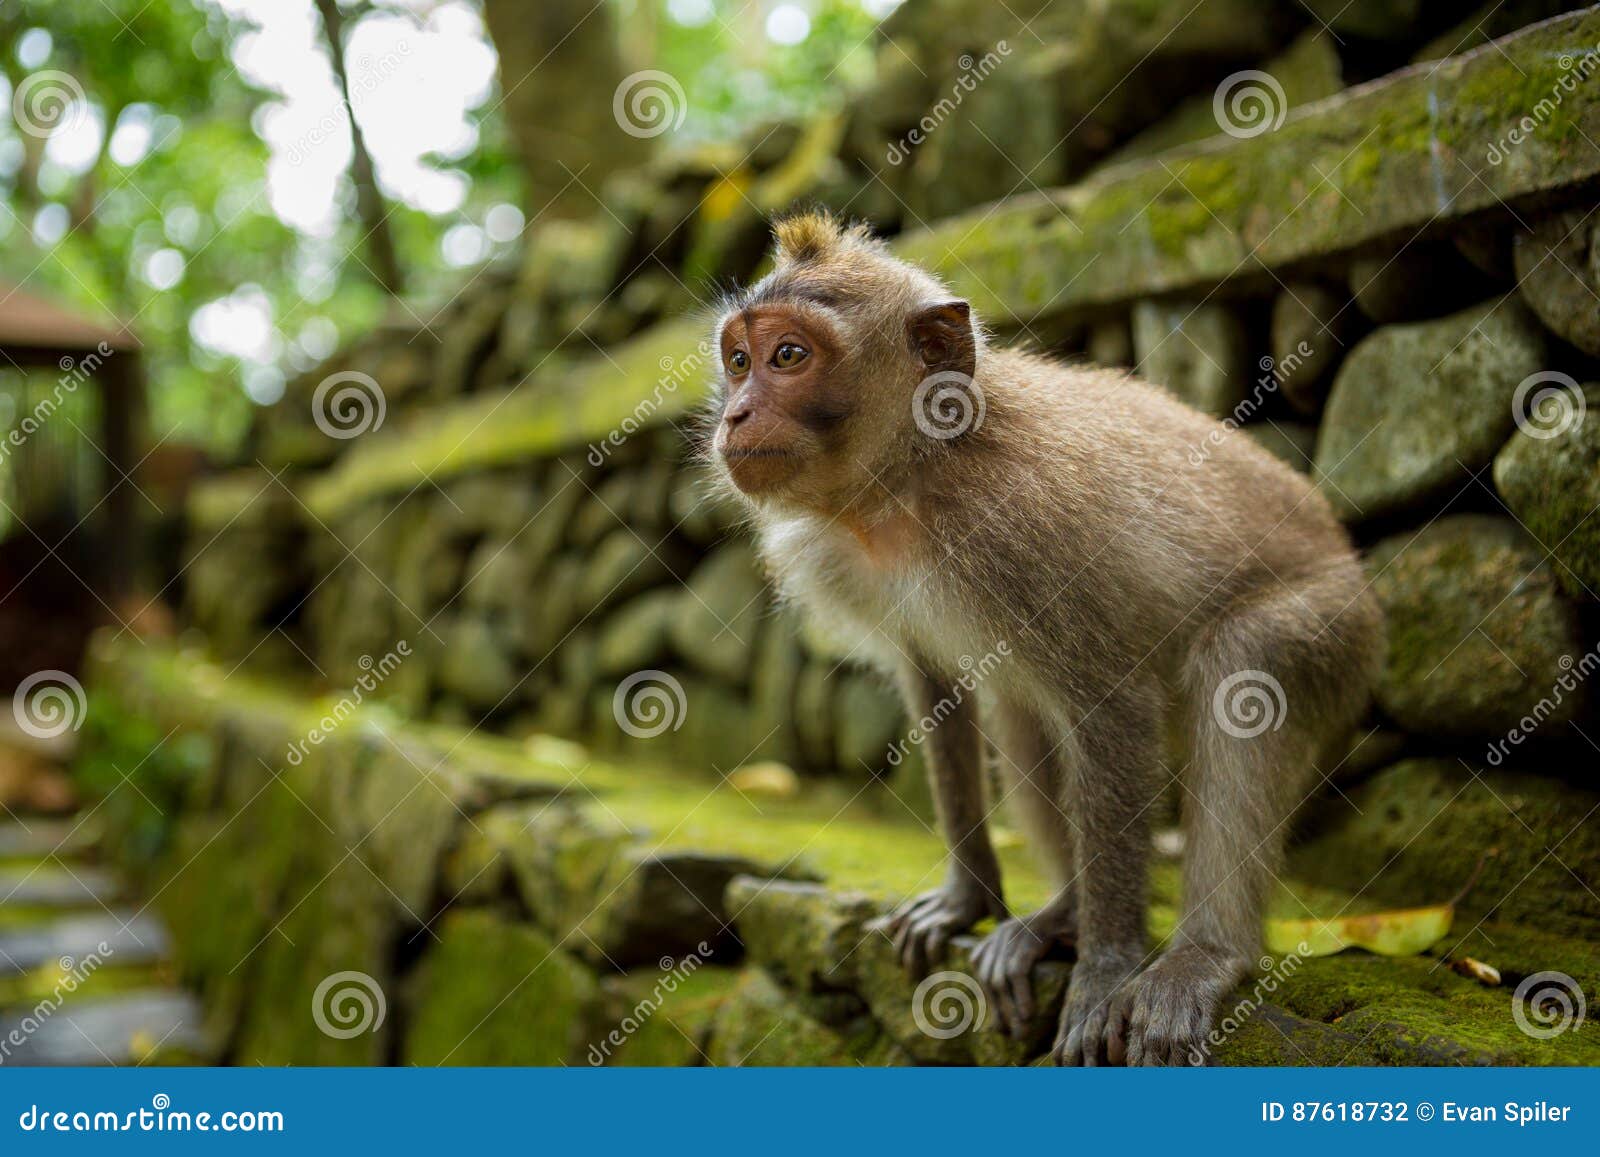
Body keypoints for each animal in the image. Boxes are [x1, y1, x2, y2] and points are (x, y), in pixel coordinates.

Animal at [704, 212, 1383, 1066]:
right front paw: (967, 898)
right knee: (1017, 699)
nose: (734, 416)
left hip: (1335, 626)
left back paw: (1202, 954)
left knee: (1248, 665)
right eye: (738, 361)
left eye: (789, 356)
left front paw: (1108, 967)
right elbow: (939, 689)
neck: (918, 476)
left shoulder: (1026, 531)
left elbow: (1110, 706)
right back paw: (1061, 912)